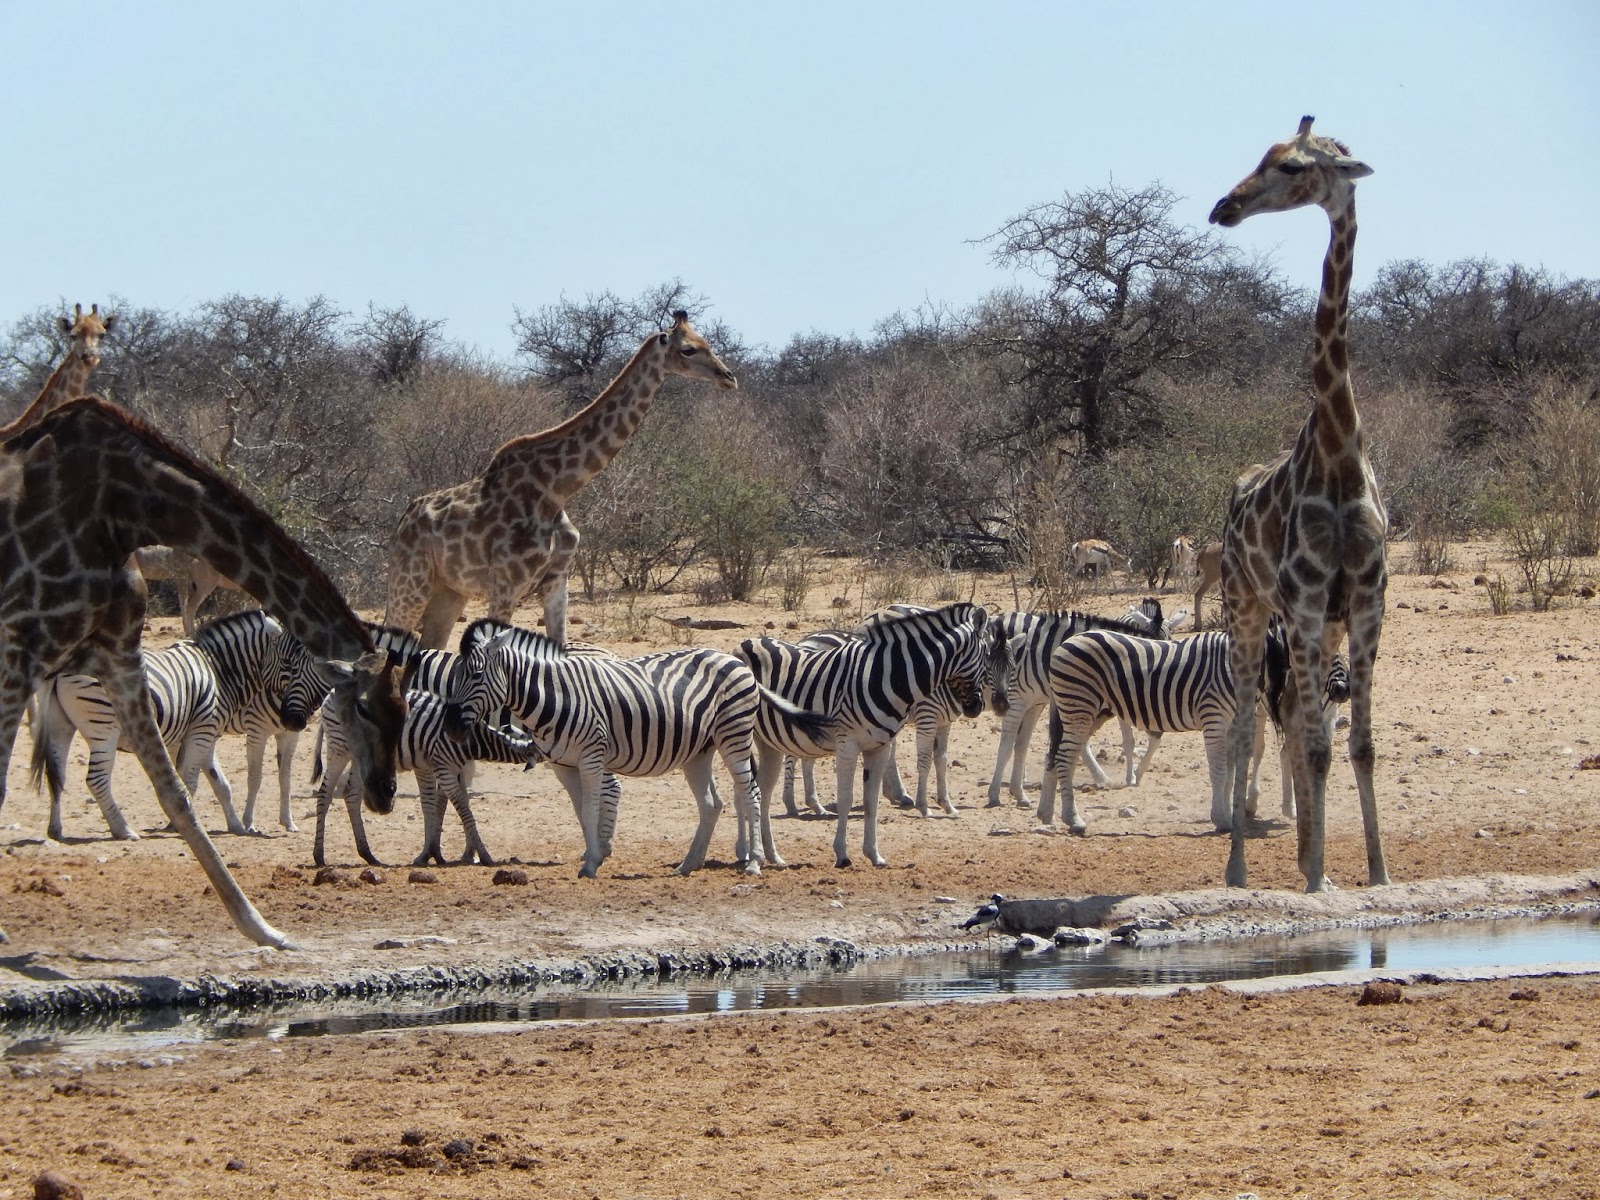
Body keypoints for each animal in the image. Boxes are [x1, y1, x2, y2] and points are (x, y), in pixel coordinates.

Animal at [29, 611, 309, 841]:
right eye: (289, 663)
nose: (291, 720)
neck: (218, 670)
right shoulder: (203, 730)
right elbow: (191, 779)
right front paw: (183, 824)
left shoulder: (204, 731)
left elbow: (218, 782)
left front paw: (235, 825)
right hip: (103, 726)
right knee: (96, 780)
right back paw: (123, 830)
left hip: (60, 724)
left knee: (57, 774)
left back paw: (56, 830)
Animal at [311, 688, 540, 867]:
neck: (472, 738)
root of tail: (331, 693)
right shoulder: (441, 765)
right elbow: (460, 807)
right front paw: (483, 855)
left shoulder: (438, 766)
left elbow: (436, 804)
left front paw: (434, 853)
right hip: (340, 748)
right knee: (325, 793)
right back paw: (319, 856)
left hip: (360, 757)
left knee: (352, 795)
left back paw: (368, 855)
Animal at [384, 311, 737, 649]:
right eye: (688, 349)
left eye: (708, 343)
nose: (728, 377)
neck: (556, 490)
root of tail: (402, 521)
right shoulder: (507, 584)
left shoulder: (558, 580)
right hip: (410, 583)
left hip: (450, 590)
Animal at [443, 618, 830, 879]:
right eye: (456, 675)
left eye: (475, 674)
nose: (450, 726)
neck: (556, 695)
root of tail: (735, 660)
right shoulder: (564, 764)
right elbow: (580, 811)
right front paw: (594, 854)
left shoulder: (592, 755)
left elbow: (591, 807)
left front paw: (591, 863)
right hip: (699, 750)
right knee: (712, 803)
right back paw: (688, 864)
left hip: (733, 734)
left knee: (750, 793)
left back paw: (754, 862)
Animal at [736, 601, 990, 869]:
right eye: (986, 653)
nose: (977, 707)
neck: (886, 677)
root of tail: (744, 643)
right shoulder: (848, 743)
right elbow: (846, 798)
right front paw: (842, 854)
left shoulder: (879, 747)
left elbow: (871, 801)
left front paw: (874, 854)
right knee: (743, 789)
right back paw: (746, 852)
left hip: (768, 741)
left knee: (760, 790)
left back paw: (770, 854)